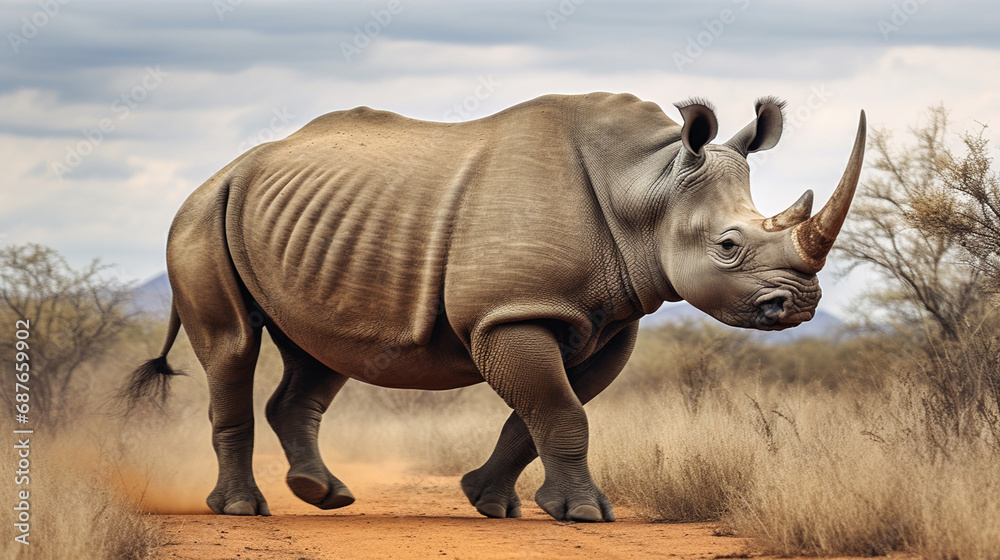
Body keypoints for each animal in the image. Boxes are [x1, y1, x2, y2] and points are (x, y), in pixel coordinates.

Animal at [125, 92, 865, 523]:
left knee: (318, 352)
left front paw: (490, 502)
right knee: (232, 347)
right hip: (199, 218)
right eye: (728, 246)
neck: (647, 187)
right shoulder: (511, 310)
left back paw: (326, 496)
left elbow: (542, 412)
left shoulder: (602, 320)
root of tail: (220, 174)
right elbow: (560, 410)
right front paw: (587, 516)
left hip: (297, 228)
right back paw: (243, 511)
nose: (800, 304)